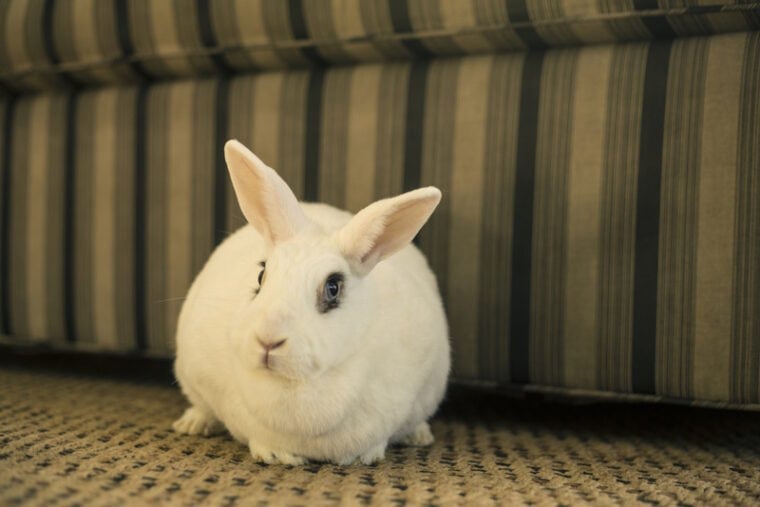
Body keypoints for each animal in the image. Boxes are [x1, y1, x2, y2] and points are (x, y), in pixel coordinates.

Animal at [172, 140, 450, 465]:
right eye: (262, 275)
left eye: (333, 288)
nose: (268, 340)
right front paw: (275, 455)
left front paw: (364, 456)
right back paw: (192, 424)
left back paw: (420, 436)